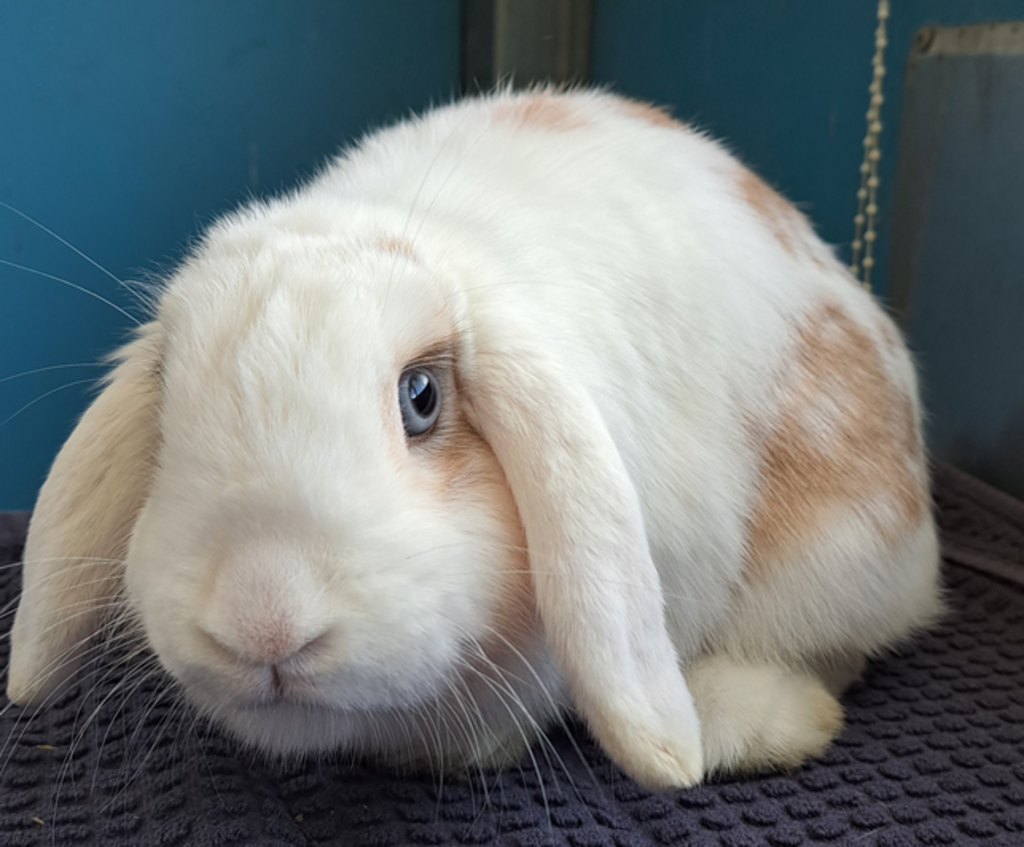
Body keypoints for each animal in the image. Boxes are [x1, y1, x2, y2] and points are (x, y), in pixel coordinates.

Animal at [5, 88, 942, 790]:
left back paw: (745, 722)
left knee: (832, 654)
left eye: (421, 397)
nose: (263, 626)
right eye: (168, 402)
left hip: (834, 557)